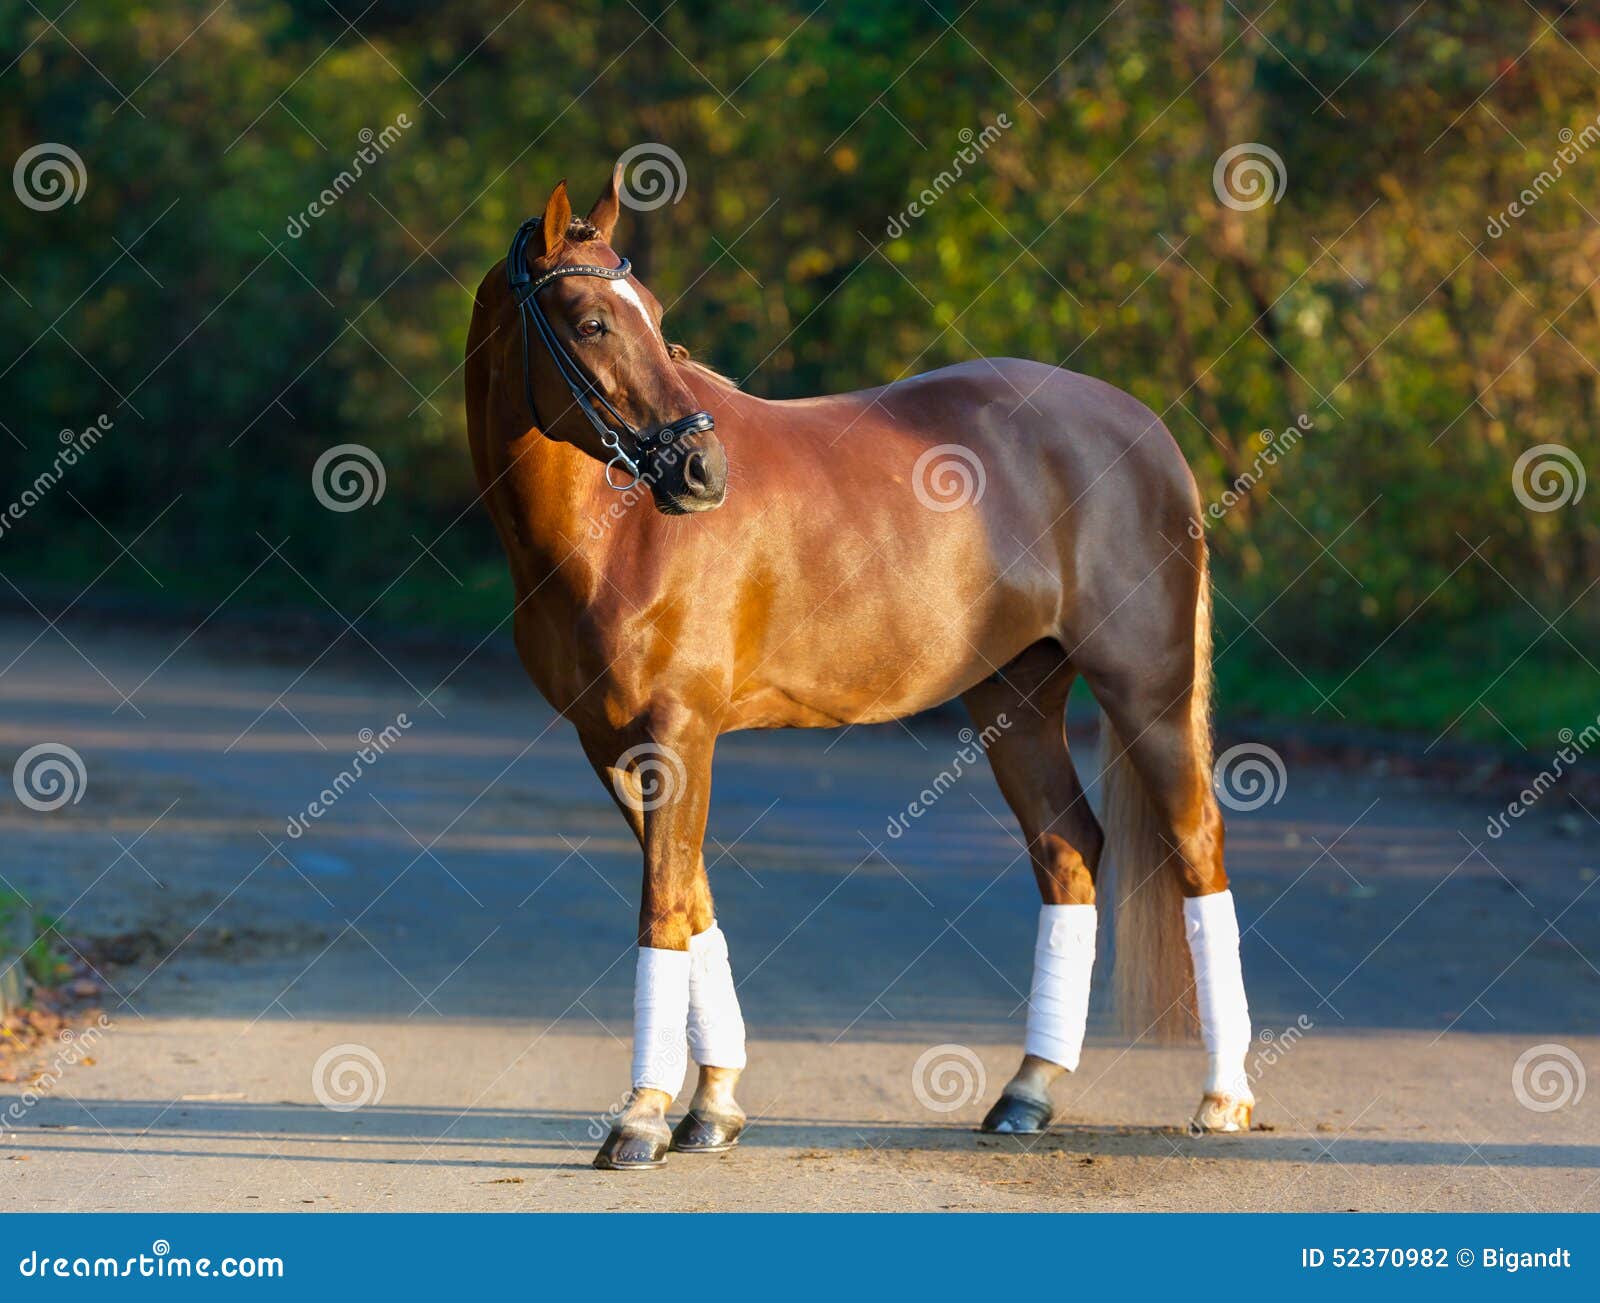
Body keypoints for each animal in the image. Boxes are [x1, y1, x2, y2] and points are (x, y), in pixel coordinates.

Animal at [464, 165, 1255, 1170]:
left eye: (651, 312)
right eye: (592, 320)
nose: (701, 467)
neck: (617, 534)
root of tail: (1145, 428)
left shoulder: (678, 733)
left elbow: (663, 908)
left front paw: (641, 1116)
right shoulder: (609, 743)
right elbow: (692, 902)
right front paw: (712, 1105)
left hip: (1147, 691)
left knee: (1198, 848)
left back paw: (1223, 1096)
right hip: (1016, 697)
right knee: (1069, 850)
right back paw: (1029, 1091)